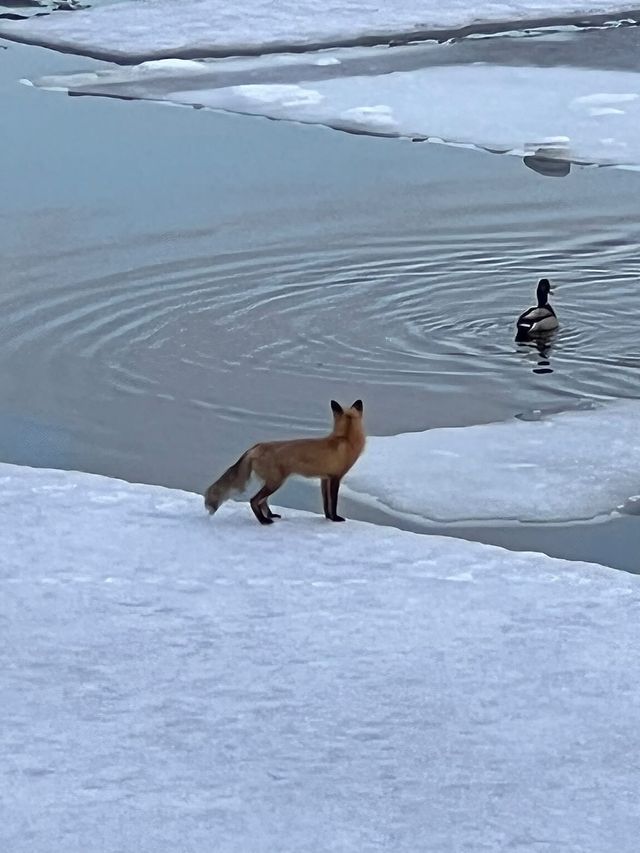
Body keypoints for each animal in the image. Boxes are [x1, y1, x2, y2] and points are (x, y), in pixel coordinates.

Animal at [204, 399, 365, 525]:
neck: (345, 439)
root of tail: (256, 447)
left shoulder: (324, 479)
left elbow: (326, 504)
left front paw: (328, 518)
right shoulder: (335, 478)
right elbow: (334, 502)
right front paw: (335, 519)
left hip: (269, 482)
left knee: (262, 502)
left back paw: (270, 515)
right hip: (275, 482)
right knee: (254, 500)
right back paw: (264, 521)